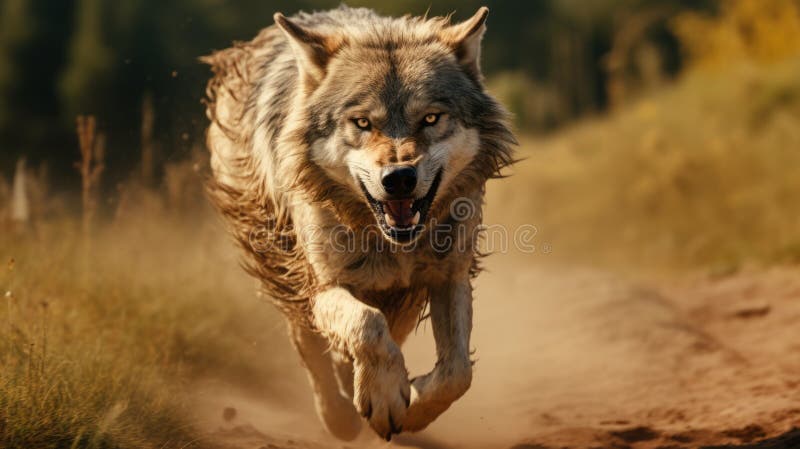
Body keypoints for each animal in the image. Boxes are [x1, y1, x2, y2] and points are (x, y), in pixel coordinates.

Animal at [203, 5, 514, 441]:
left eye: (430, 118)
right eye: (363, 123)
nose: (398, 178)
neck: (390, 242)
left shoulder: (449, 275)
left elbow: (457, 373)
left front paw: (412, 405)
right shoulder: (323, 284)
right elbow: (367, 326)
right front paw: (381, 398)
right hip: (285, 269)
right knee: (310, 345)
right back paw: (339, 416)